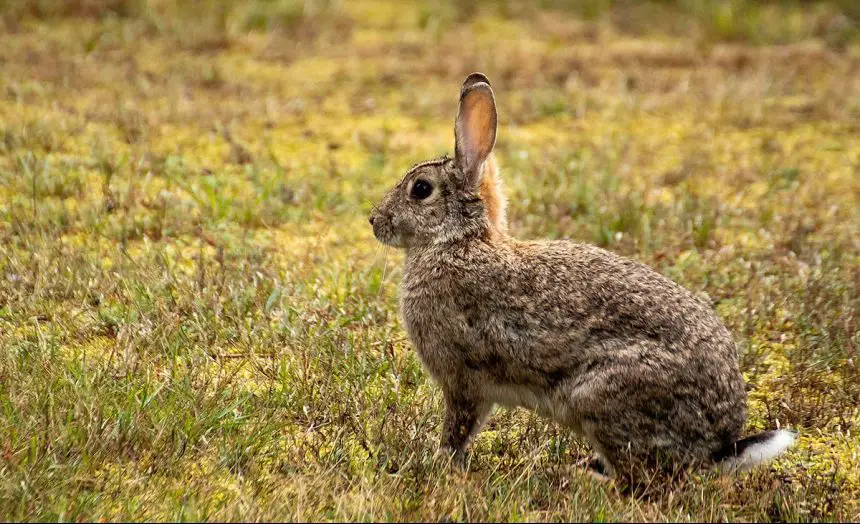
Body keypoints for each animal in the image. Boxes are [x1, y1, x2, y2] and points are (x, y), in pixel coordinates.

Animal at [368, 72, 796, 479]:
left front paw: (437, 462)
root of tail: (719, 446)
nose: (374, 221)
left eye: (420, 189)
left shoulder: (462, 380)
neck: (458, 241)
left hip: (599, 397)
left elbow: (458, 429)